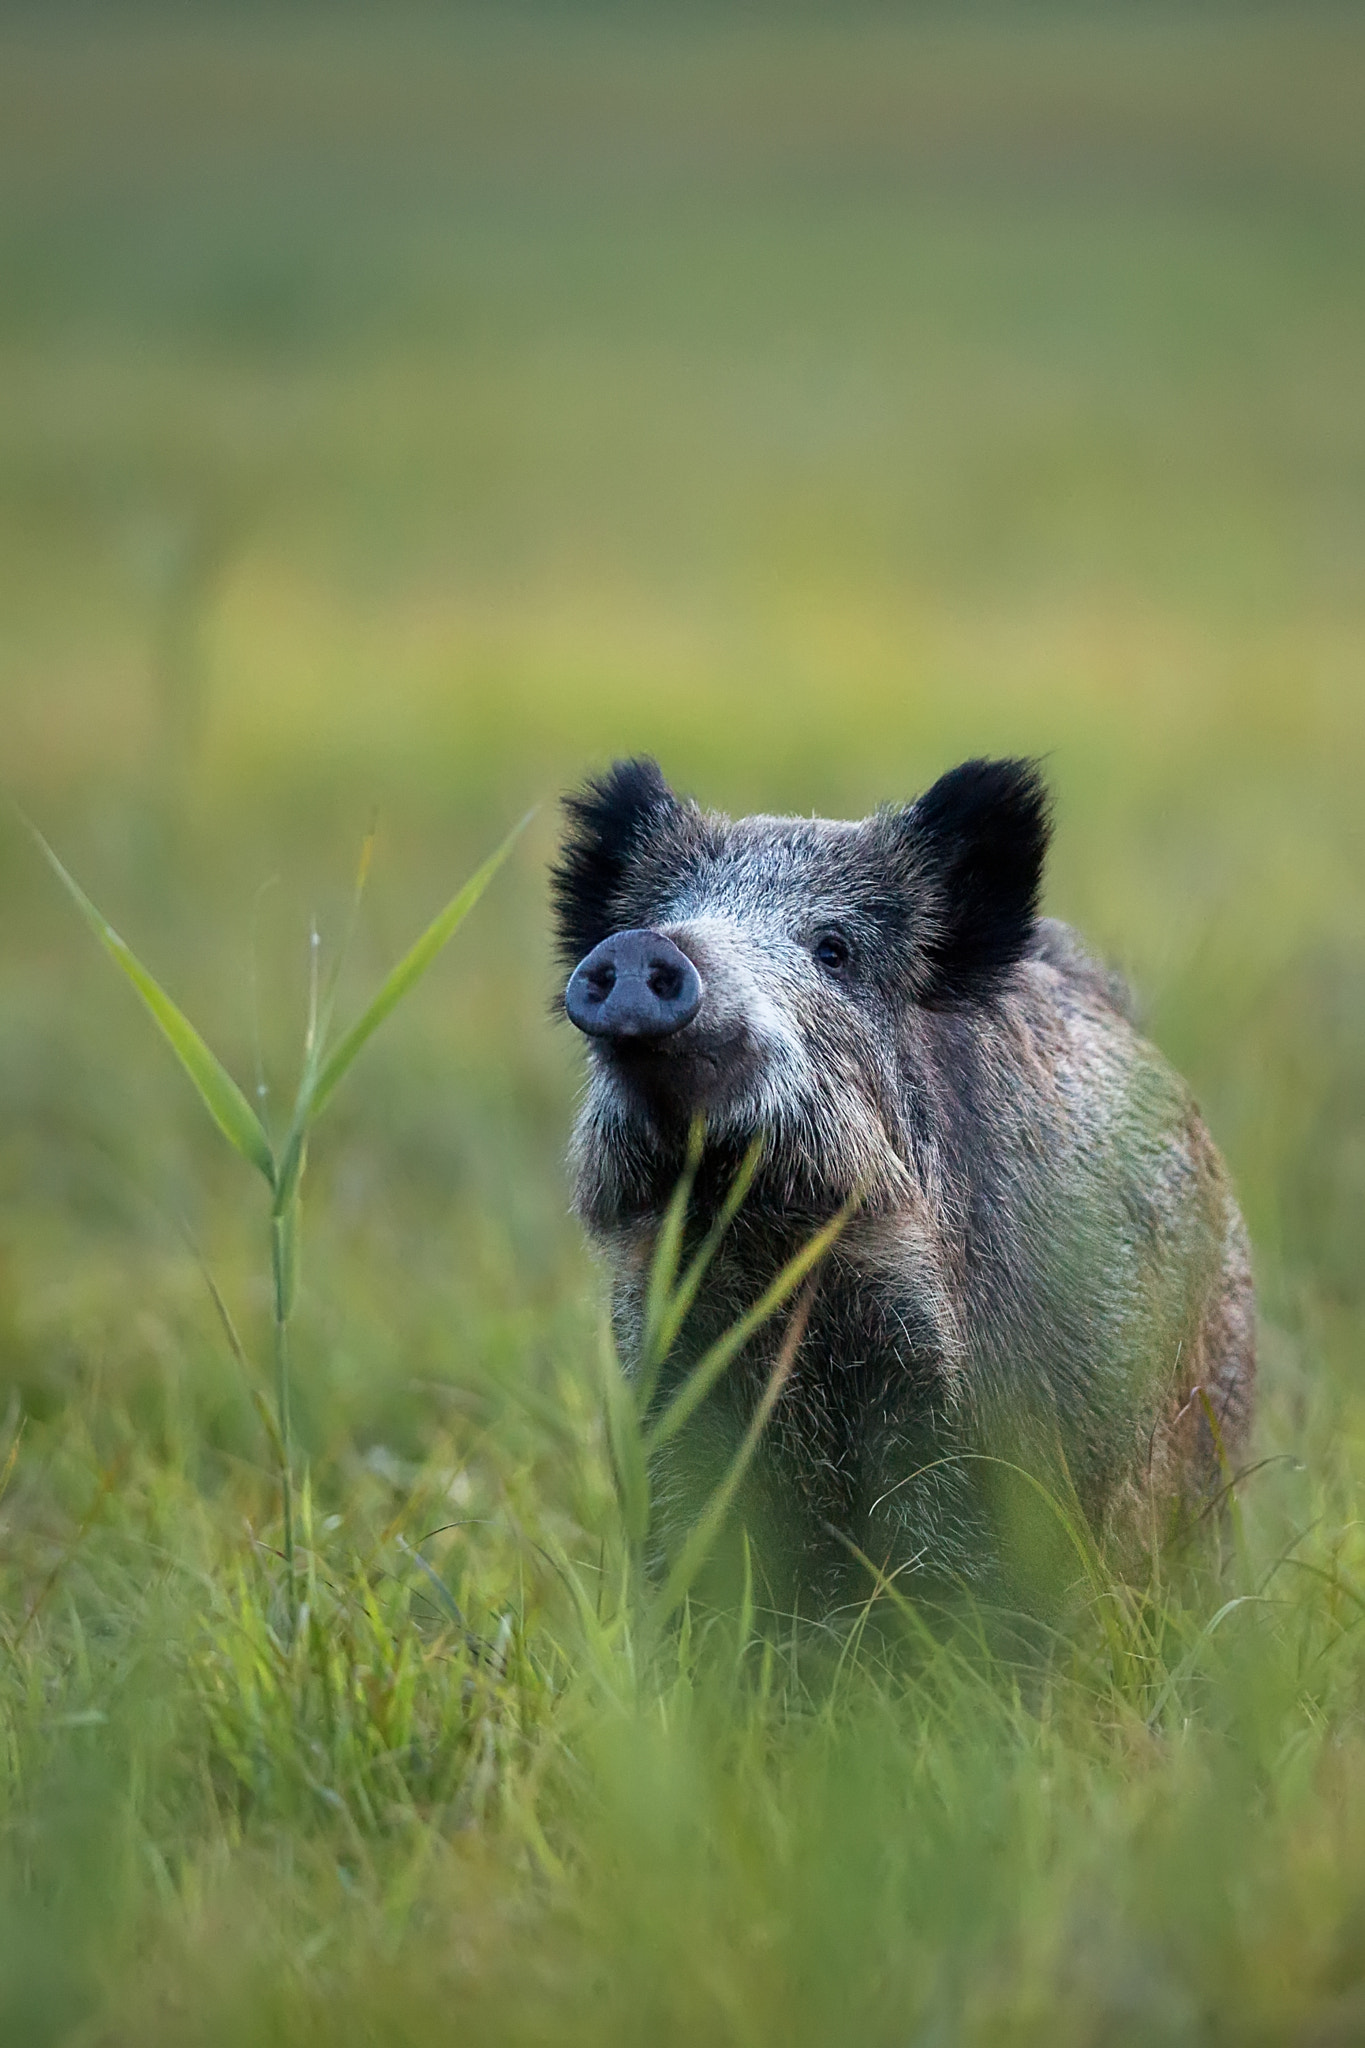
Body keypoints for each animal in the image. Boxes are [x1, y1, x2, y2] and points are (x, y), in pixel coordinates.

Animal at [553, 756, 1255, 1619]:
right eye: (665, 912)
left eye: (832, 949)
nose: (645, 944)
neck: (762, 1239)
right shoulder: (673, 1383)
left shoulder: (977, 1422)